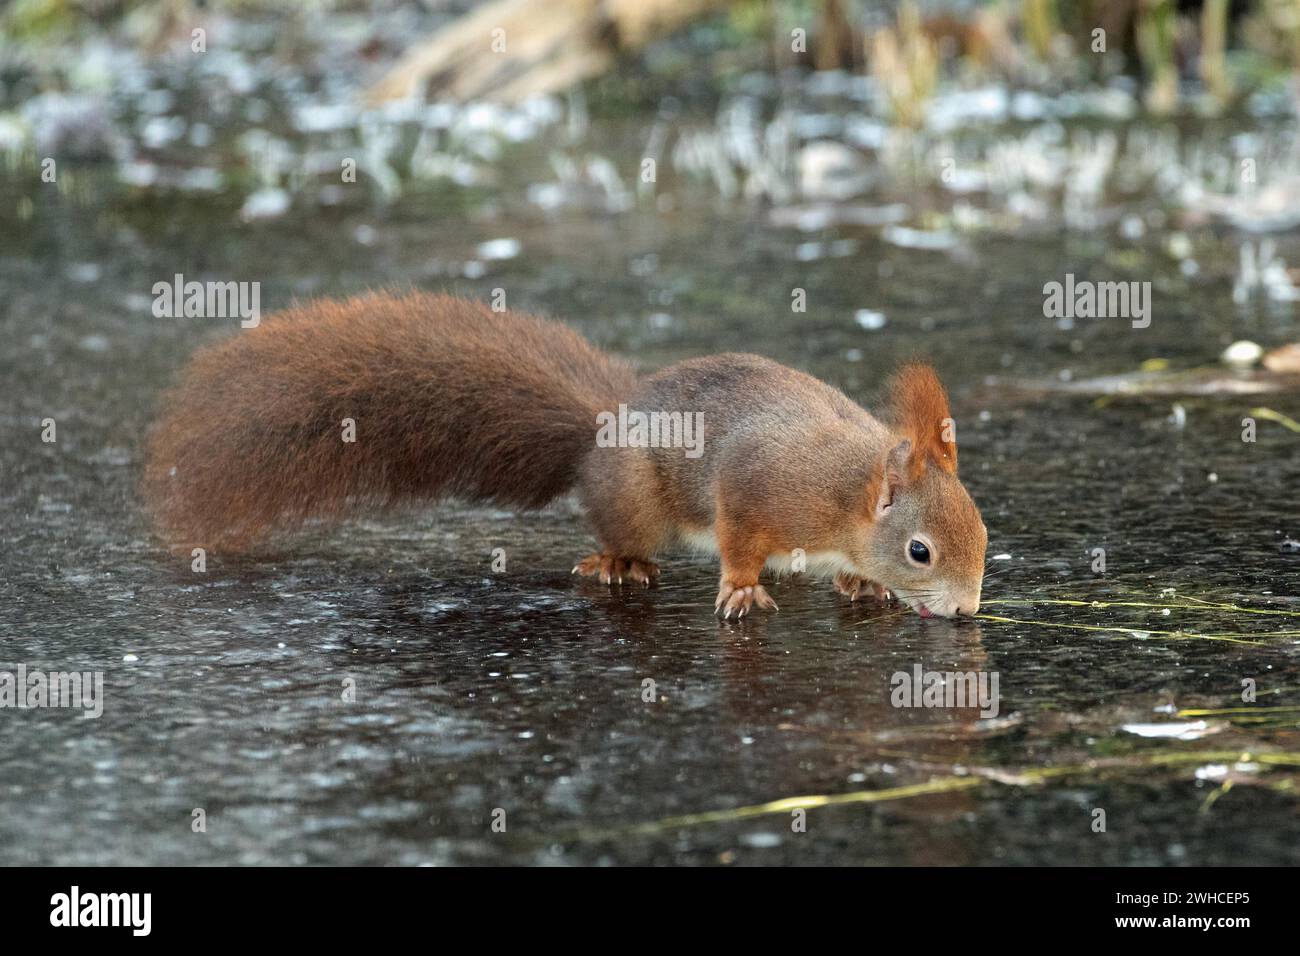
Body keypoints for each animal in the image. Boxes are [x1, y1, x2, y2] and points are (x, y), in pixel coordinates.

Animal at [143, 292, 988, 619]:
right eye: (920, 551)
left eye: (984, 535)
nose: (968, 613)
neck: (847, 490)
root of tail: (604, 426)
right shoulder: (758, 488)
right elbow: (741, 540)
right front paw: (744, 591)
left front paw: (860, 584)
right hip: (639, 504)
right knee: (623, 533)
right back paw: (616, 564)